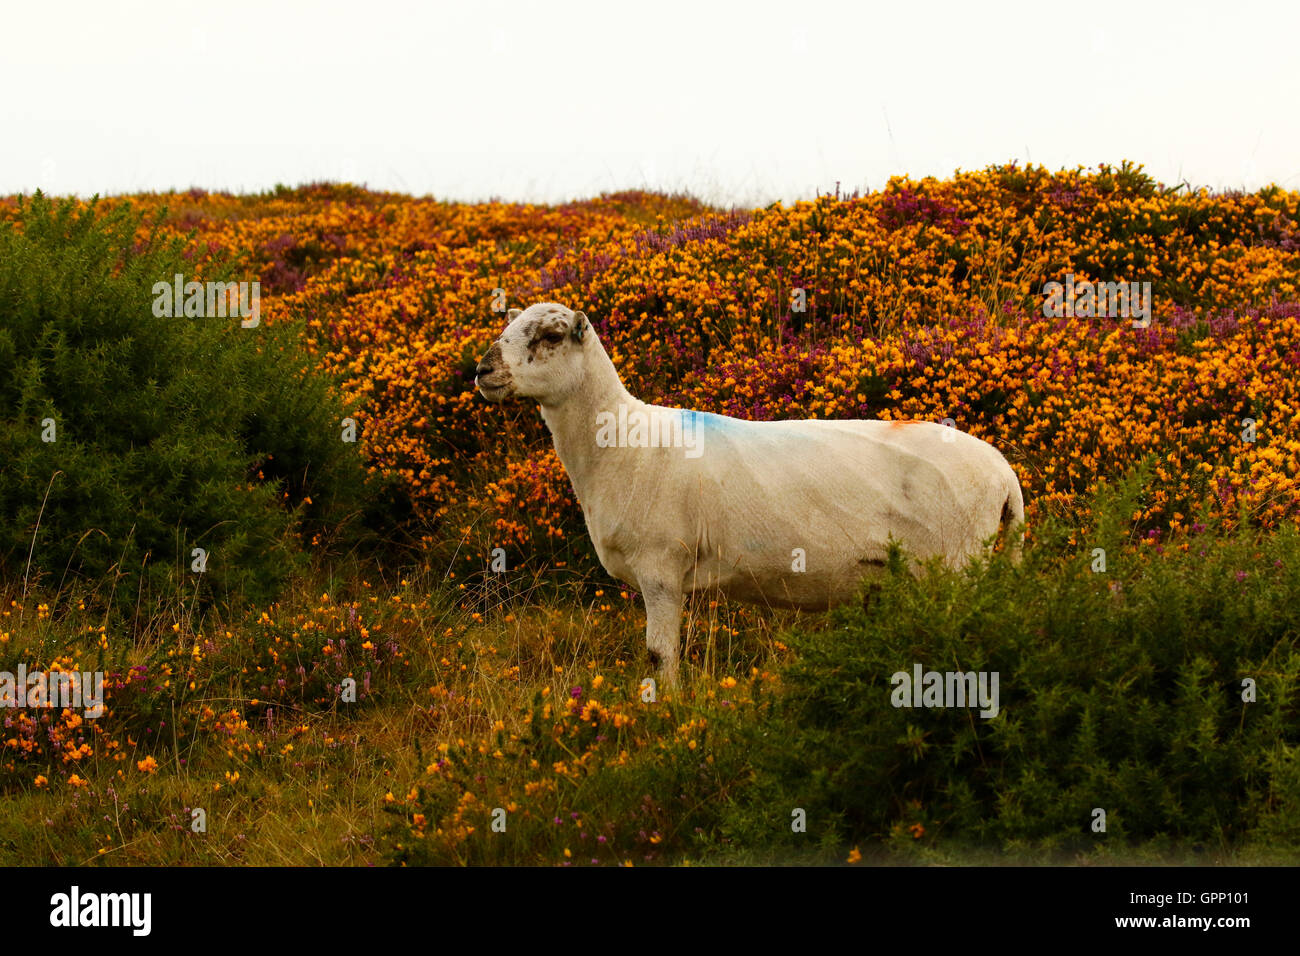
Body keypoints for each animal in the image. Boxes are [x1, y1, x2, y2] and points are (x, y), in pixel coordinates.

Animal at [475, 303, 1025, 687]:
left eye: (550, 336)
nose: (482, 370)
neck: (621, 440)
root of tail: (1004, 473)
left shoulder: (661, 569)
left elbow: (660, 656)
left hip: (954, 567)